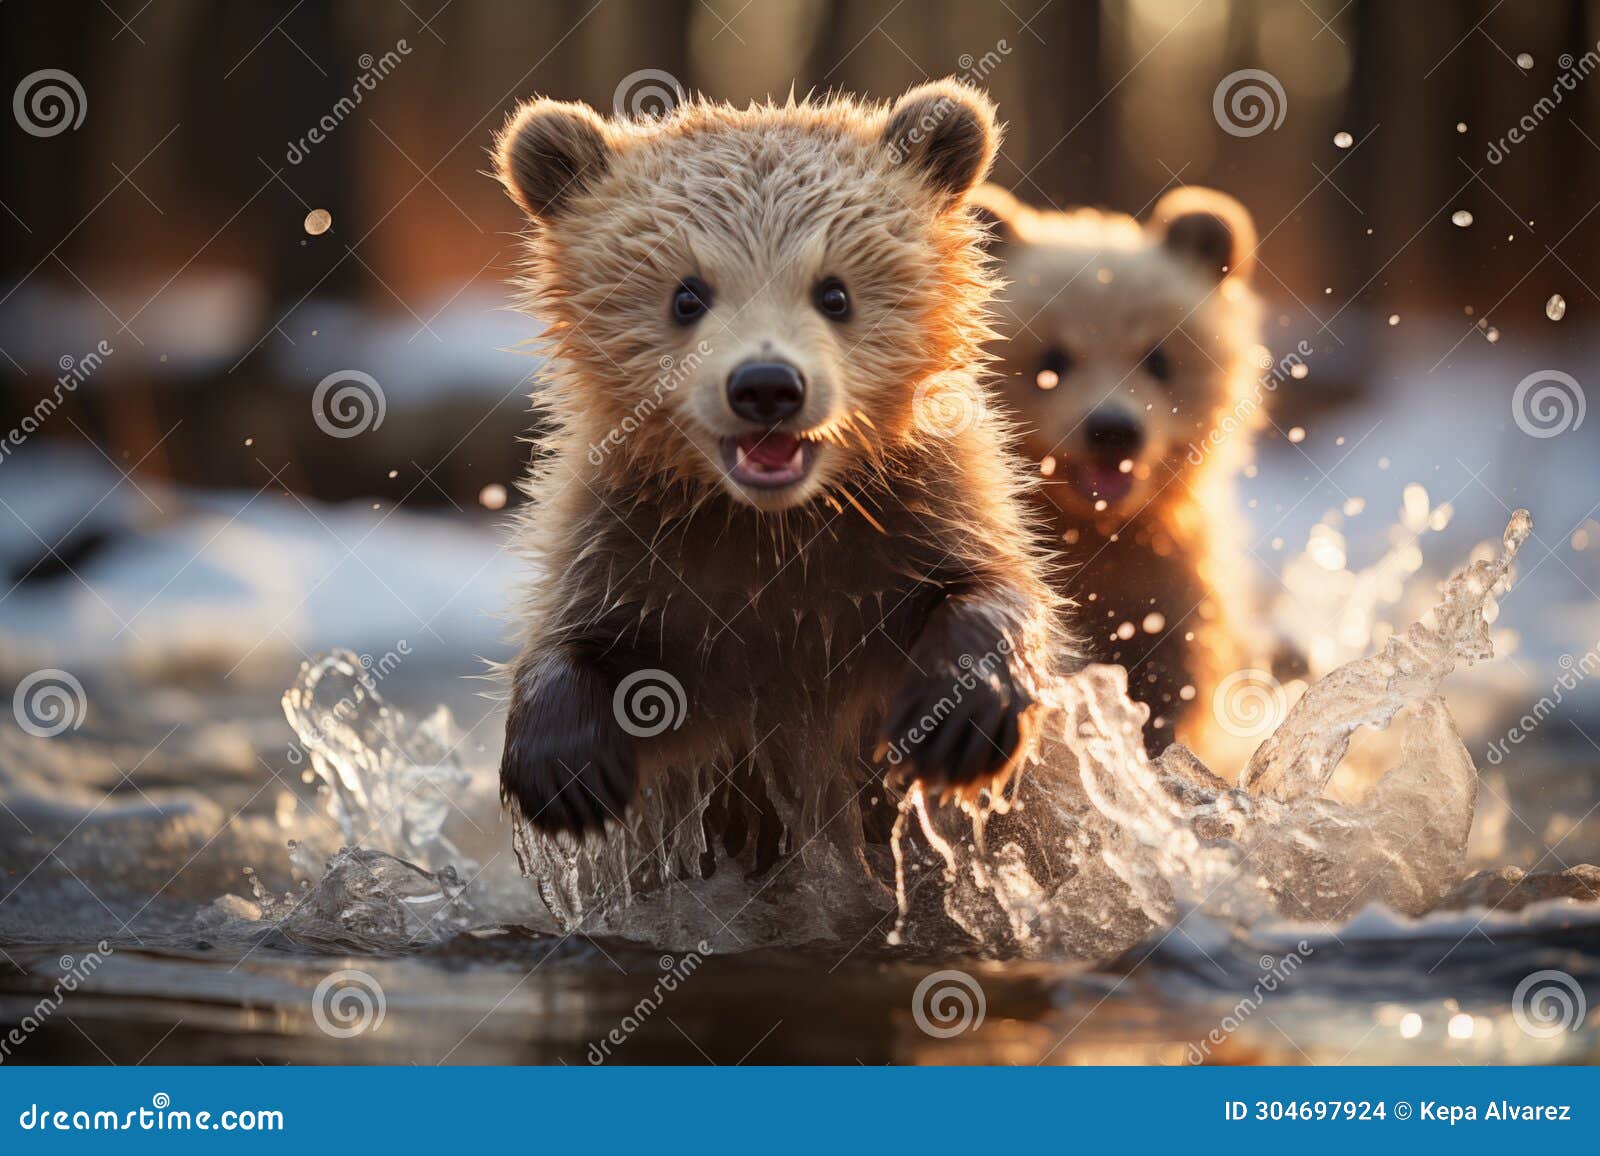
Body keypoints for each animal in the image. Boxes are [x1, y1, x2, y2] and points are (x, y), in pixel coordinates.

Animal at [490, 82, 1075, 871]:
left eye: (834, 292)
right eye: (687, 294)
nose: (766, 385)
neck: (776, 528)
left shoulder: (907, 526)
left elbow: (991, 586)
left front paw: (959, 719)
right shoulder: (642, 553)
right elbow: (579, 641)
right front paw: (564, 770)